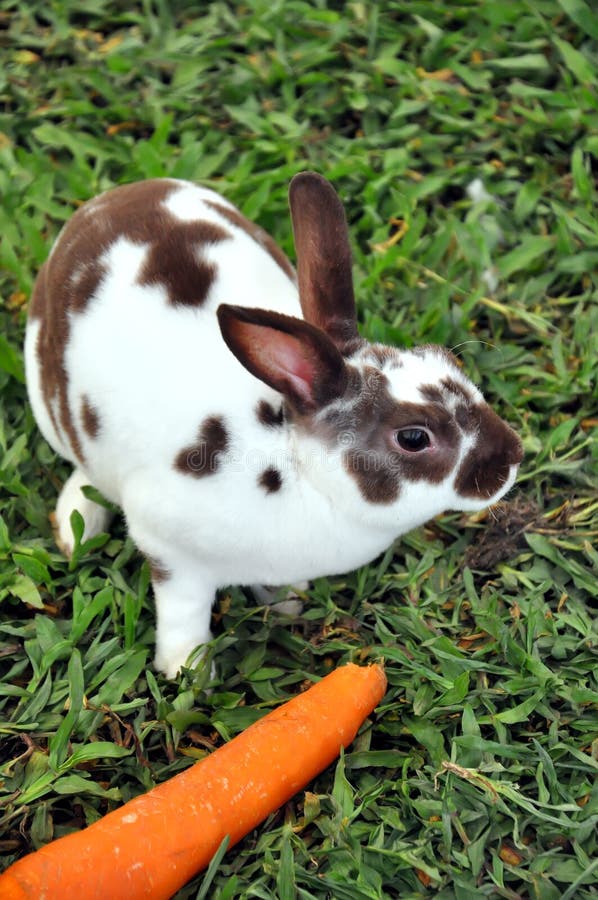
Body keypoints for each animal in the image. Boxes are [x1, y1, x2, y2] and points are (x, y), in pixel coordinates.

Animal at [25, 172, 523, 678]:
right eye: (414, 437)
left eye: (446, 359)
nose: (512, 457)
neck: (296, 469)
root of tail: (116, 198)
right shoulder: (169, 552)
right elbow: (184, 613)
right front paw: (187, 671)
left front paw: (286, 603)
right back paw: (76, 529)